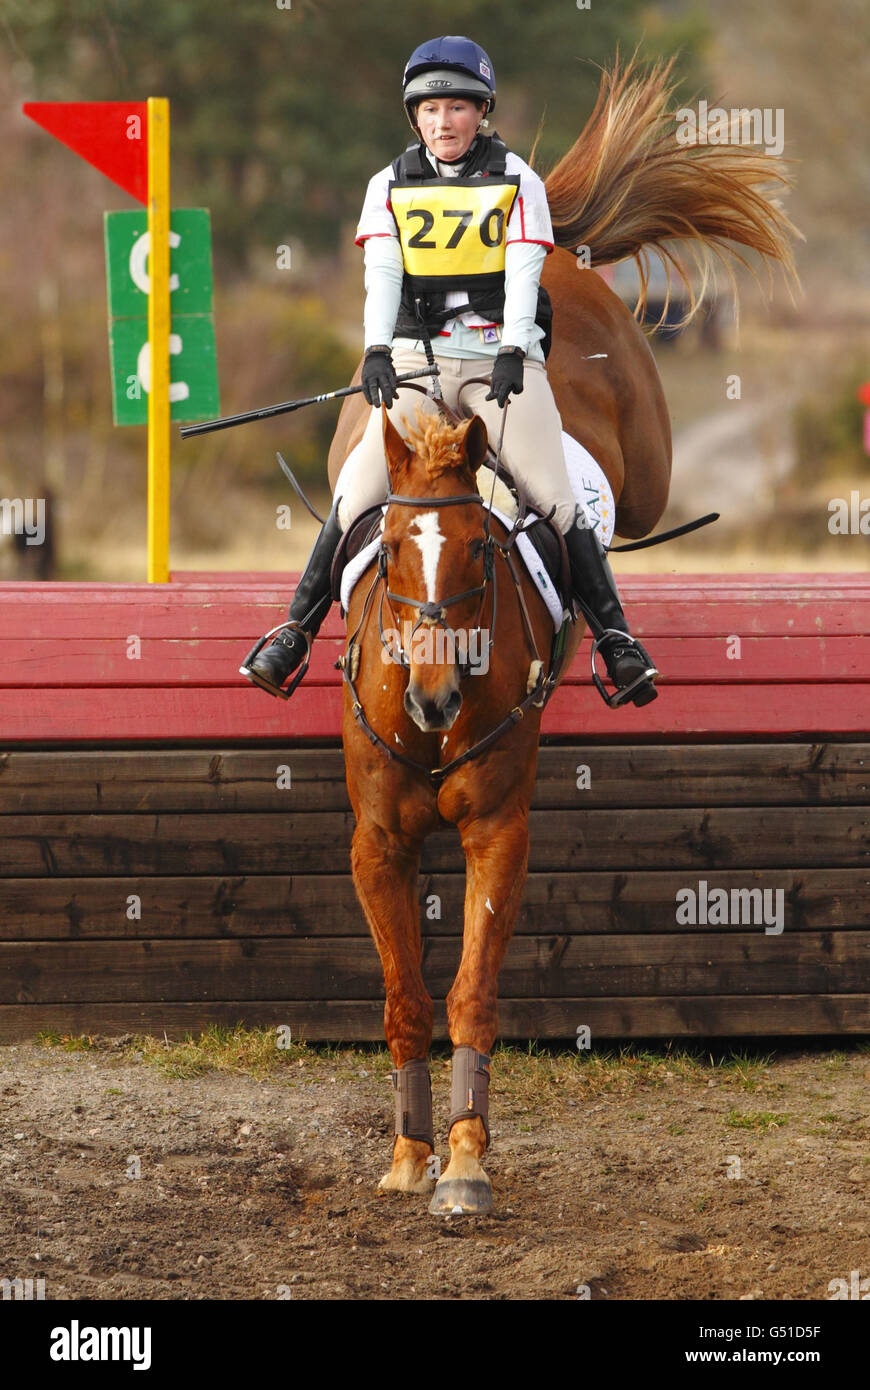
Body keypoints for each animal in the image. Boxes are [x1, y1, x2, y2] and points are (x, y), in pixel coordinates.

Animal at [323, 57, 798, 1215]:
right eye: (388, 550)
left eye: (479, 556)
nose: (438, 702)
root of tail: (575, 269)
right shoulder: (377, 837)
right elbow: (405, 995)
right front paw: (408, 1156)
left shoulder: (500, 828)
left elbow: (469, 993)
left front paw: (463, 1162)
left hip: (640, 453)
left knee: (619, 512)